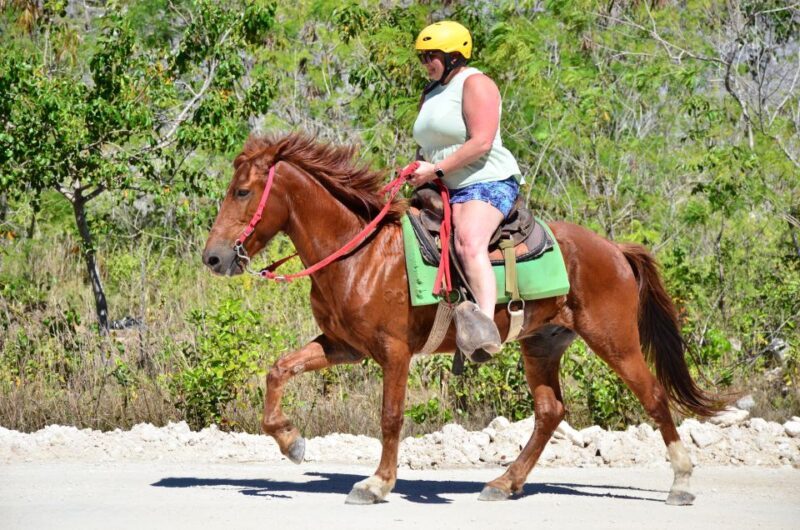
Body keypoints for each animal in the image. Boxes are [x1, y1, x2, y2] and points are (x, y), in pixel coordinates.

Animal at [202, 133, 722, 505]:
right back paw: (504, 482)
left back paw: (681, 481)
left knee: (653, 396)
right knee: (550, 411)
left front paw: (377, 483)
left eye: (242, 191)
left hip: (614, 340)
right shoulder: (343, 346)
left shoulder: (394, 352)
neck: (360, 253)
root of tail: (614, 248)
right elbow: (278, 370)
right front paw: (291, 442)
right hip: (542, 343)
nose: (213, 257)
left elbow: (390, 416)